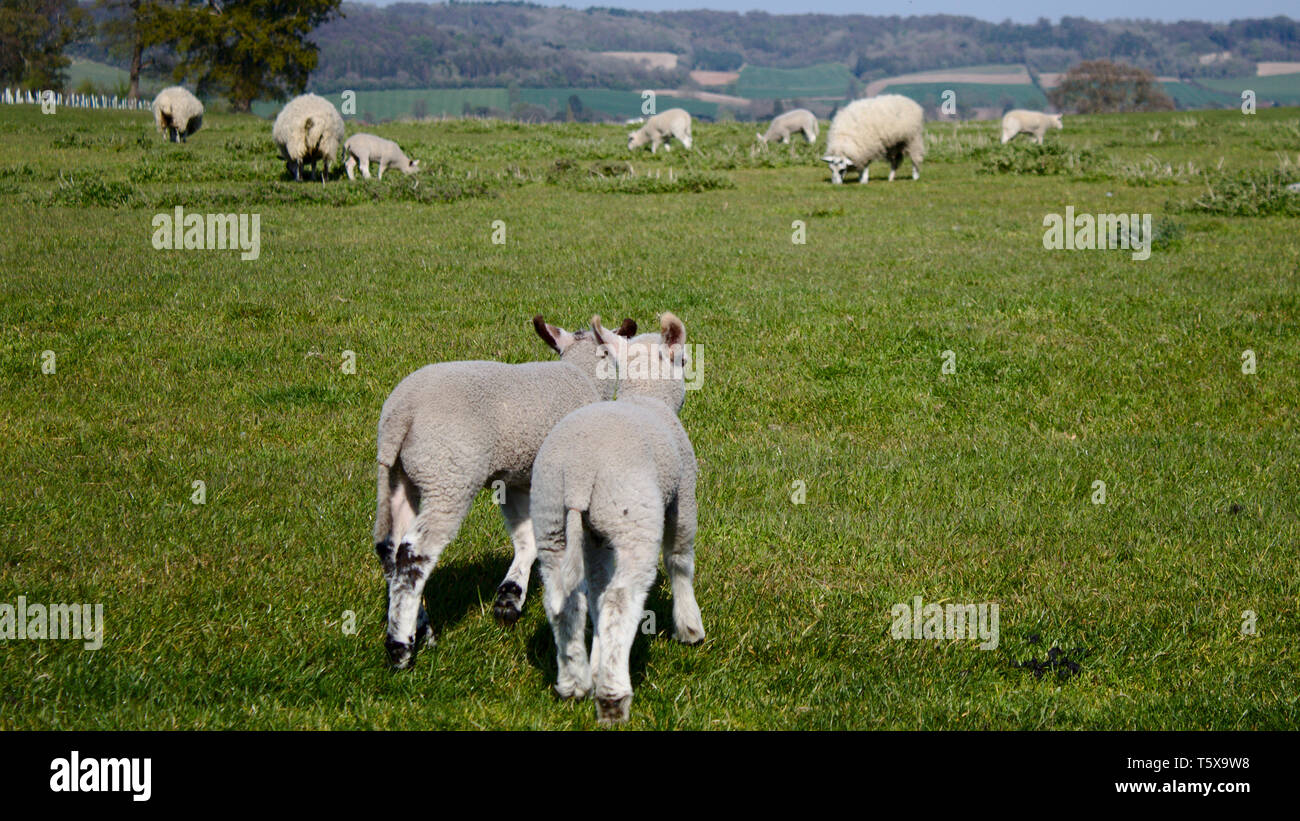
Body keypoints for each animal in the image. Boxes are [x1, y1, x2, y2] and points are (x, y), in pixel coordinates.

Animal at [373, 314, 638, 670]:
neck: (582, 375)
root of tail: (401, 414)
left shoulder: (516, 479)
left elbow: (527, 539)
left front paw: (509, 599)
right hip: (448, 475)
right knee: (413, 554)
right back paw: (400, 648)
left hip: (397, 478)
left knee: (389, 550)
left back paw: (420, 627)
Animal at [530, 312, 704, 723]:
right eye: (684, 361)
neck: (647, 397)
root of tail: (578, 473)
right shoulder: (684, 495)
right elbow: (680, 560)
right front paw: (689, 627)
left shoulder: (597, 537)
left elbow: (595, 590)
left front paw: (596, 661)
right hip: (632, 517)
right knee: (620, 599)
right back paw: (612, 696)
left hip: (552, 518)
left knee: (565, 600)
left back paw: (574, 682)